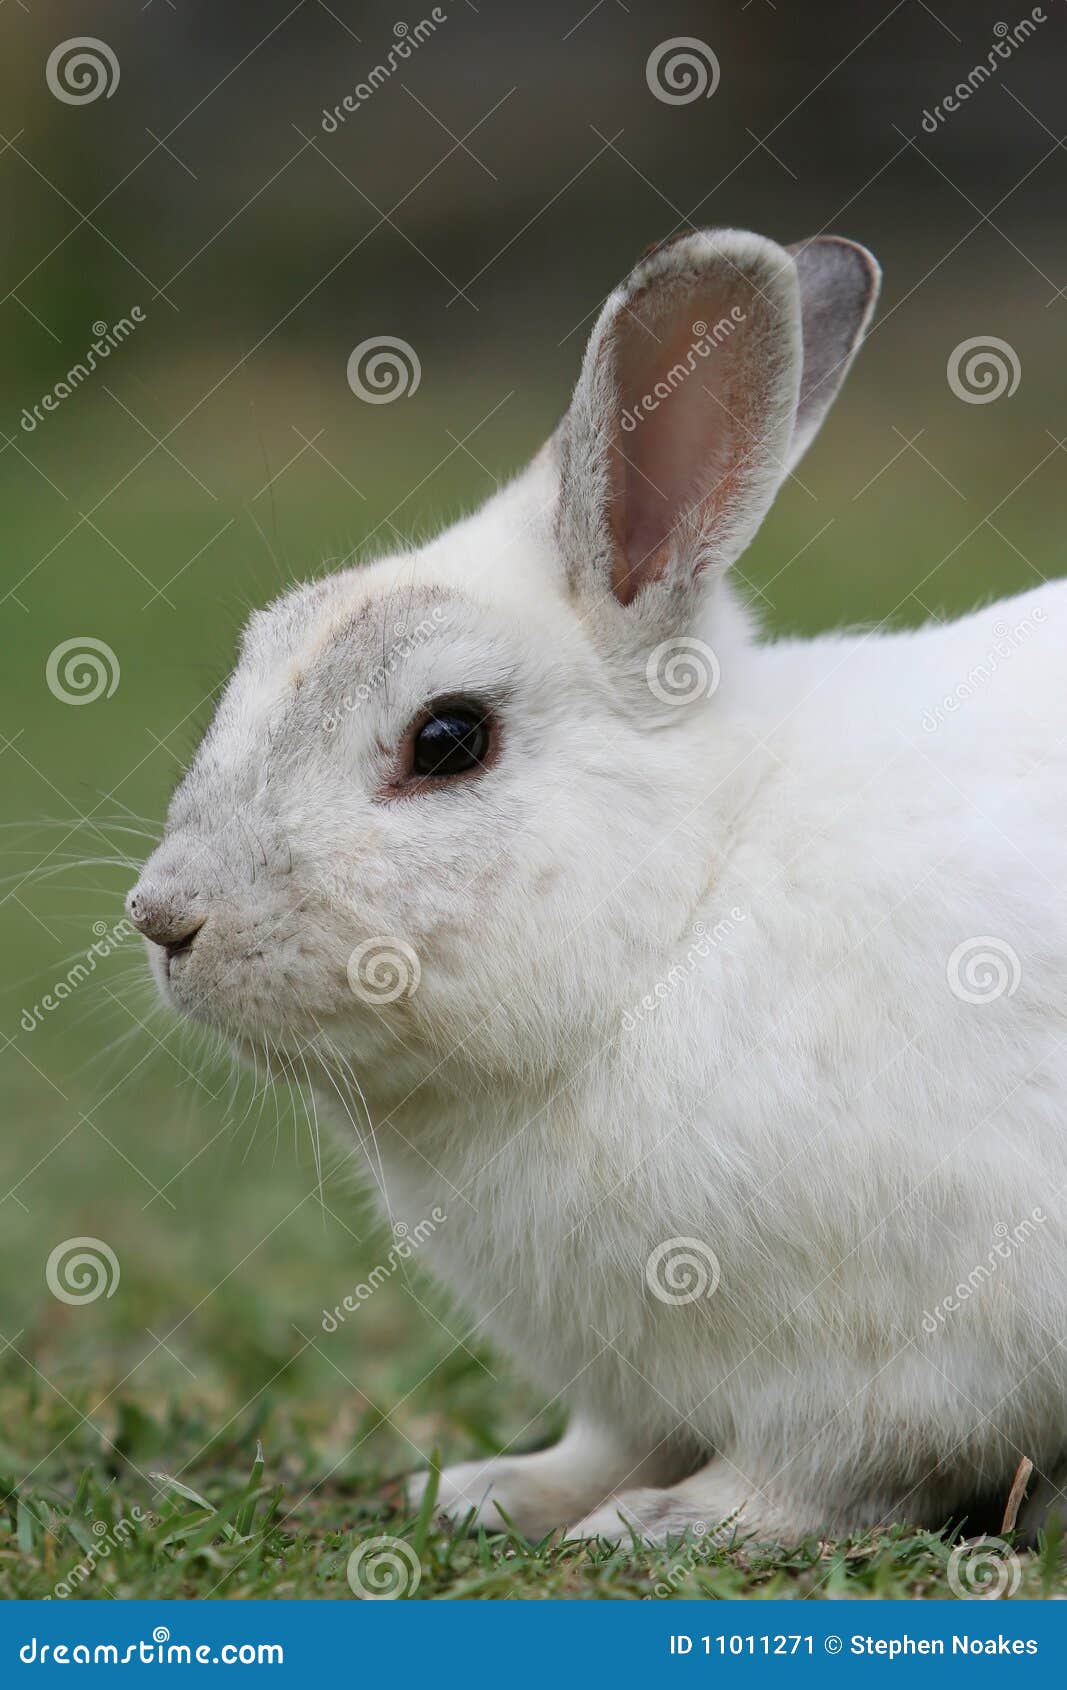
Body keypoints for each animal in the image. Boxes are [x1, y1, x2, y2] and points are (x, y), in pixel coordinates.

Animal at [127, 227, 1067, 1548]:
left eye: (448, 738)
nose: (165, 917)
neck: (685, 909)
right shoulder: (632, 1387)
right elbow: (607, 1443)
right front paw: (498, 1490)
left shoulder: (910, 1355)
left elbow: (818, 1469)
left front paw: (662, 1523)